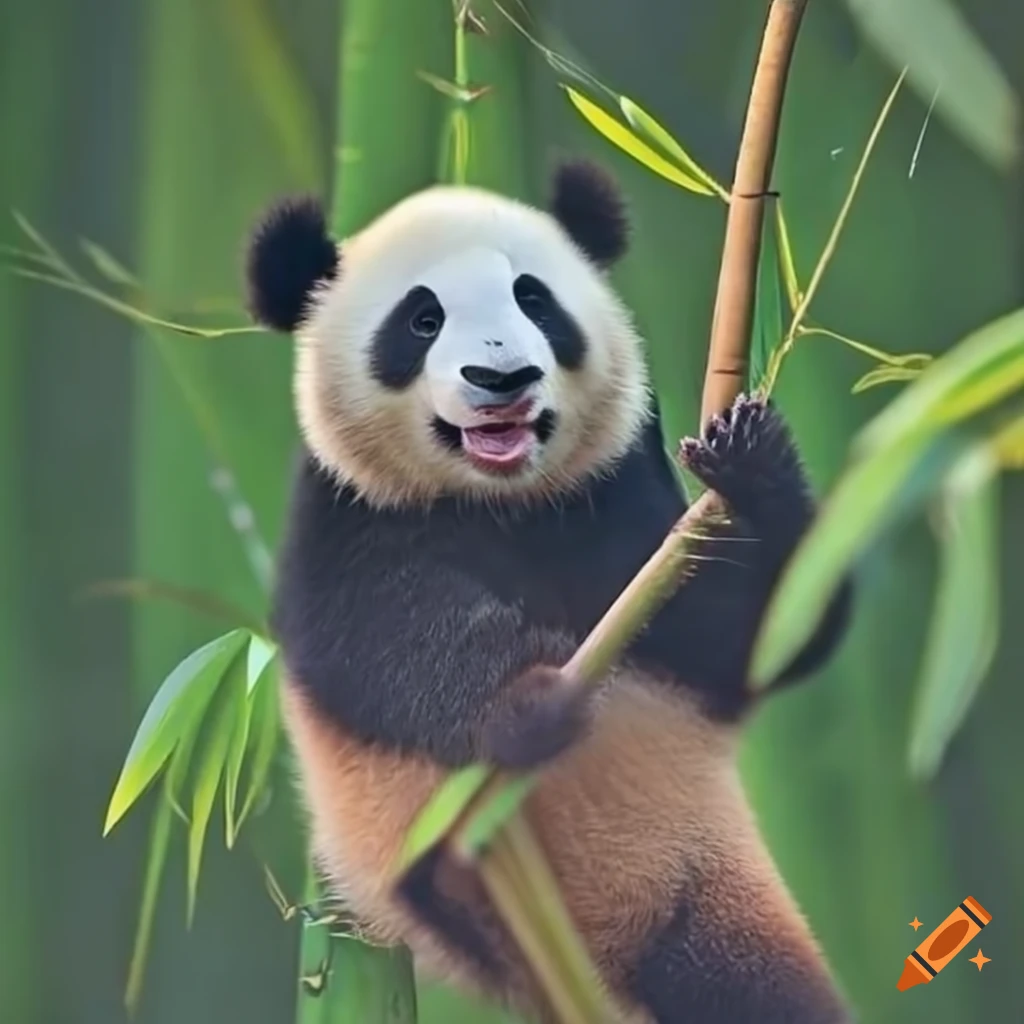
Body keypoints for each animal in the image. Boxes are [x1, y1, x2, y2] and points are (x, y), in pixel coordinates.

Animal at [244, 159, 854, 1024]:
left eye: (534, 299)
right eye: (422, 319)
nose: (502, 377)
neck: (500, 503)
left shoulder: (616, 503)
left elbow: (755, 636)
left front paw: (752, 460)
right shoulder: (347, 518)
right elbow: (380, 649)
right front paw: (530, 699)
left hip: (709, 895)